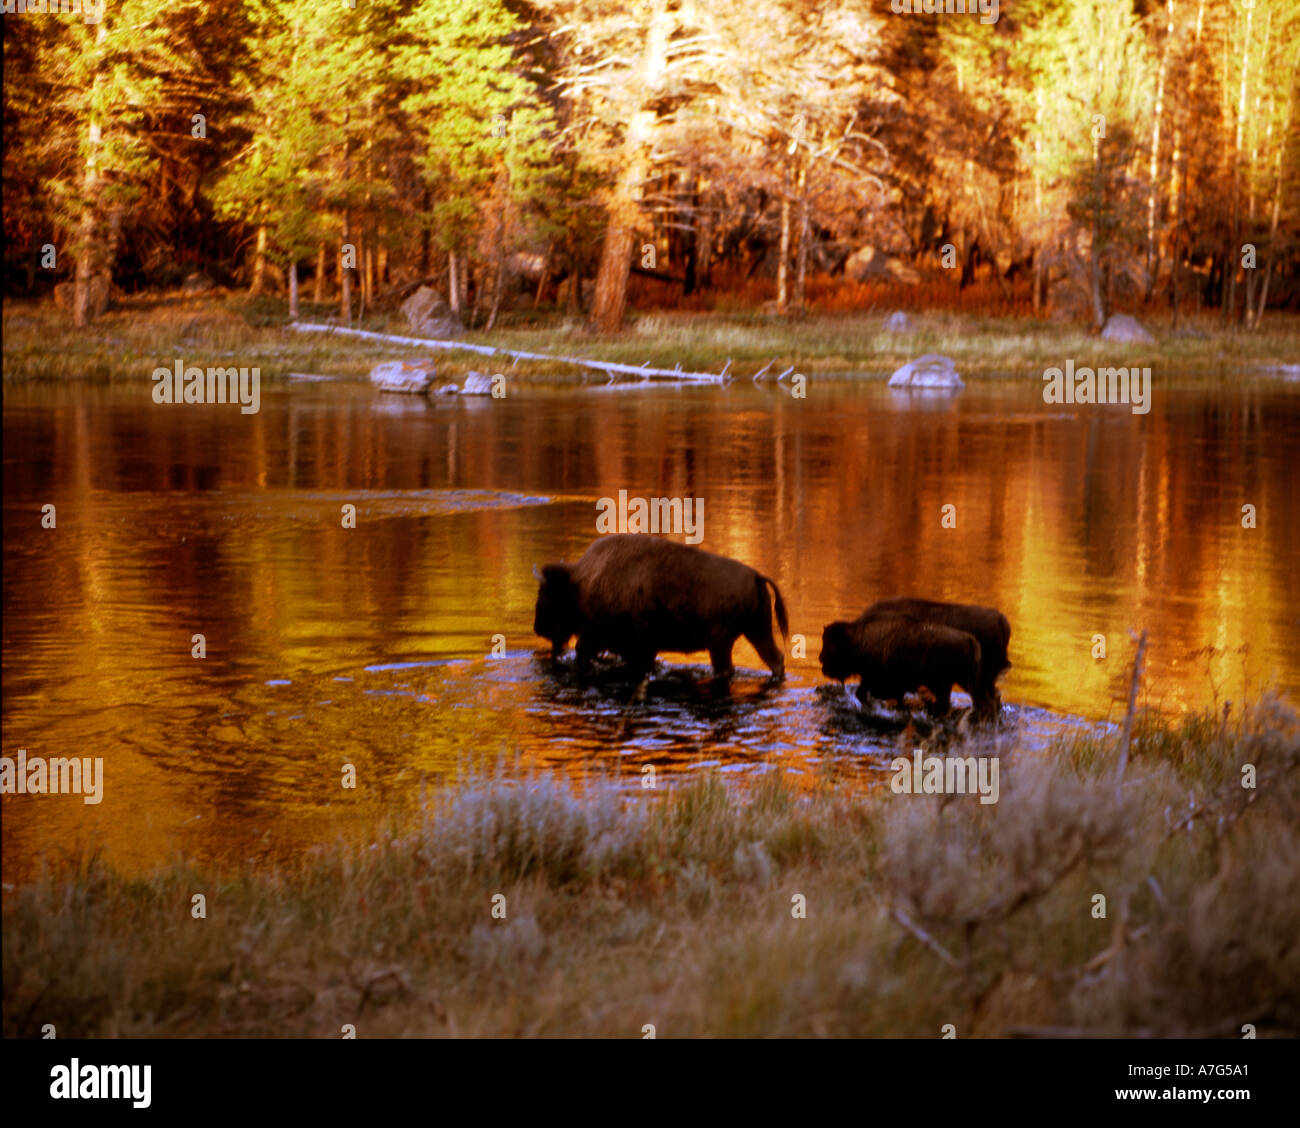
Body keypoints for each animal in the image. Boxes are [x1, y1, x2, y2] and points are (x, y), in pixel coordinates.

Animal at [533, 534, 789, 684]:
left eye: (545, 595)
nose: (538, 628)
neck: (581, 582)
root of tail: (755, 575)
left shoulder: (601, 637)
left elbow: (583, 652)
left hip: (722, 642)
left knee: (729, 668)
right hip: (757, 632)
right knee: (775, 658)